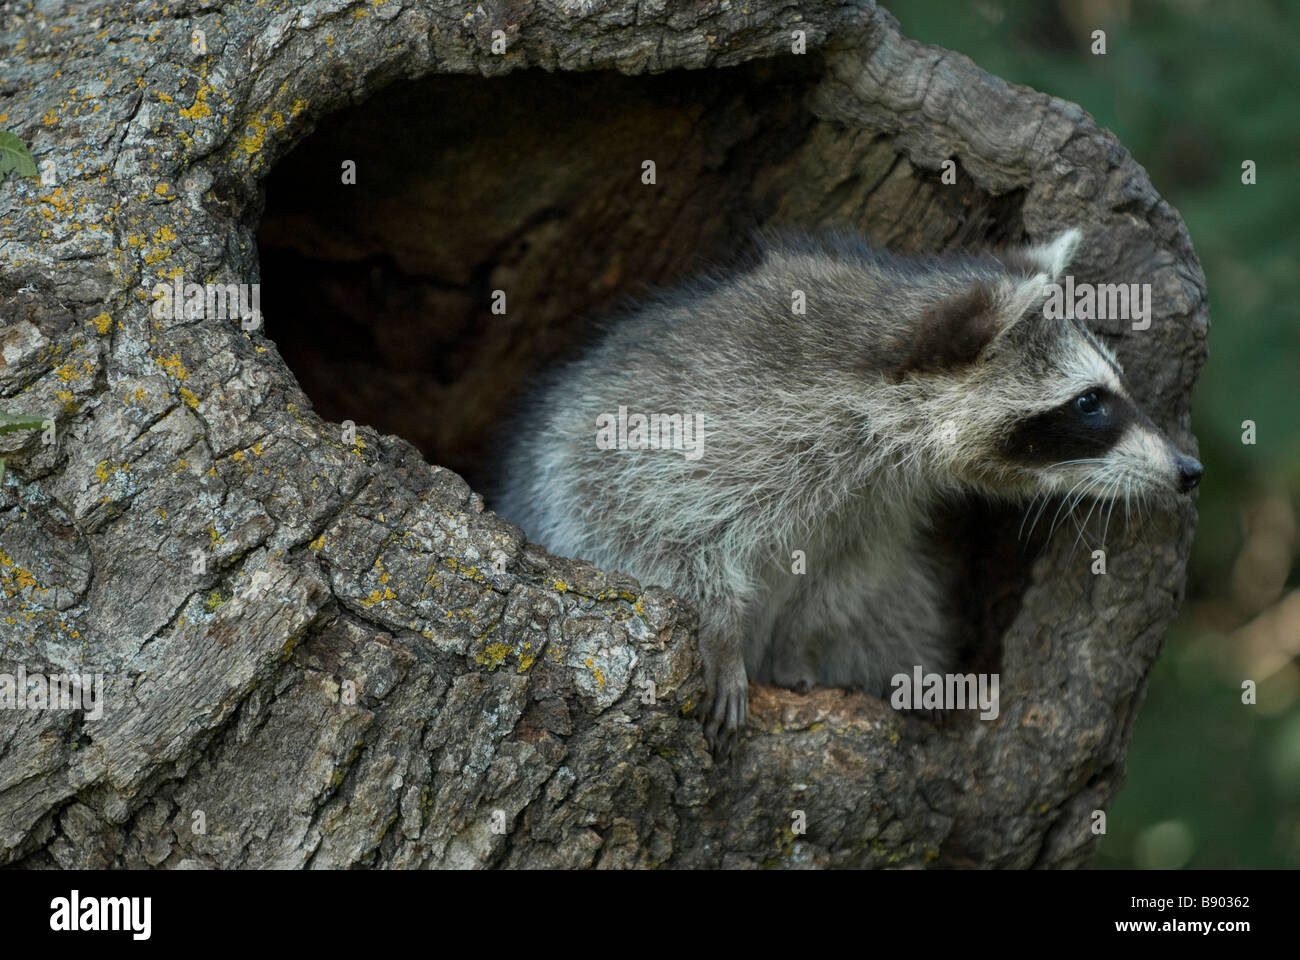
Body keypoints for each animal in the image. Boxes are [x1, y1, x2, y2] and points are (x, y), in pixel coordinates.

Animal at [493, 228, 1202, 750]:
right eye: (1090, 402)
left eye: (1108, 389)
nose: (1188, 469)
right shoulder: (684, 432)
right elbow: (652, 534)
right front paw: (719, 629)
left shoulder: (880, 500)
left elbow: (852, 575)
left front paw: (801, 642)